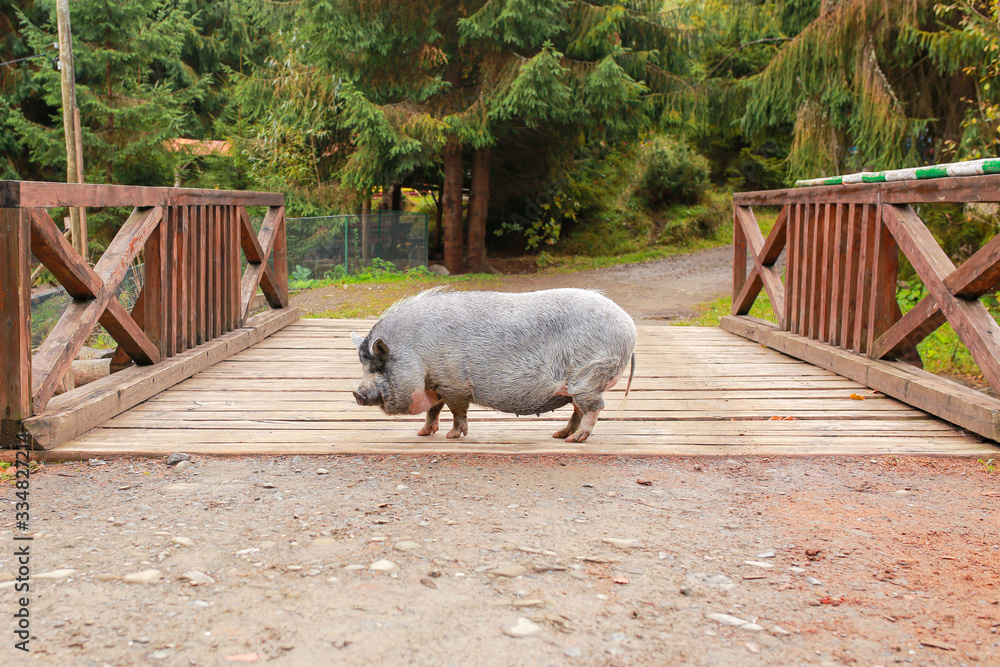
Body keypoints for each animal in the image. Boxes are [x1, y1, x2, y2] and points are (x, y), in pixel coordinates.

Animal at [351, 287, 636, 442]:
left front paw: (452, 436)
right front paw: (422, 434)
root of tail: (629, 326)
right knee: (578, 410)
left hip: (590, 375)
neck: (414, 351)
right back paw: (560, 434)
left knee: (595, 407)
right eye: (363, 365)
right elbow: (434, 410)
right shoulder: (436, 382)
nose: (356, 393)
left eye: (379, 366)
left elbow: (457, 411)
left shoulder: (453, 383)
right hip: (578, 384)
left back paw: (575, 440)